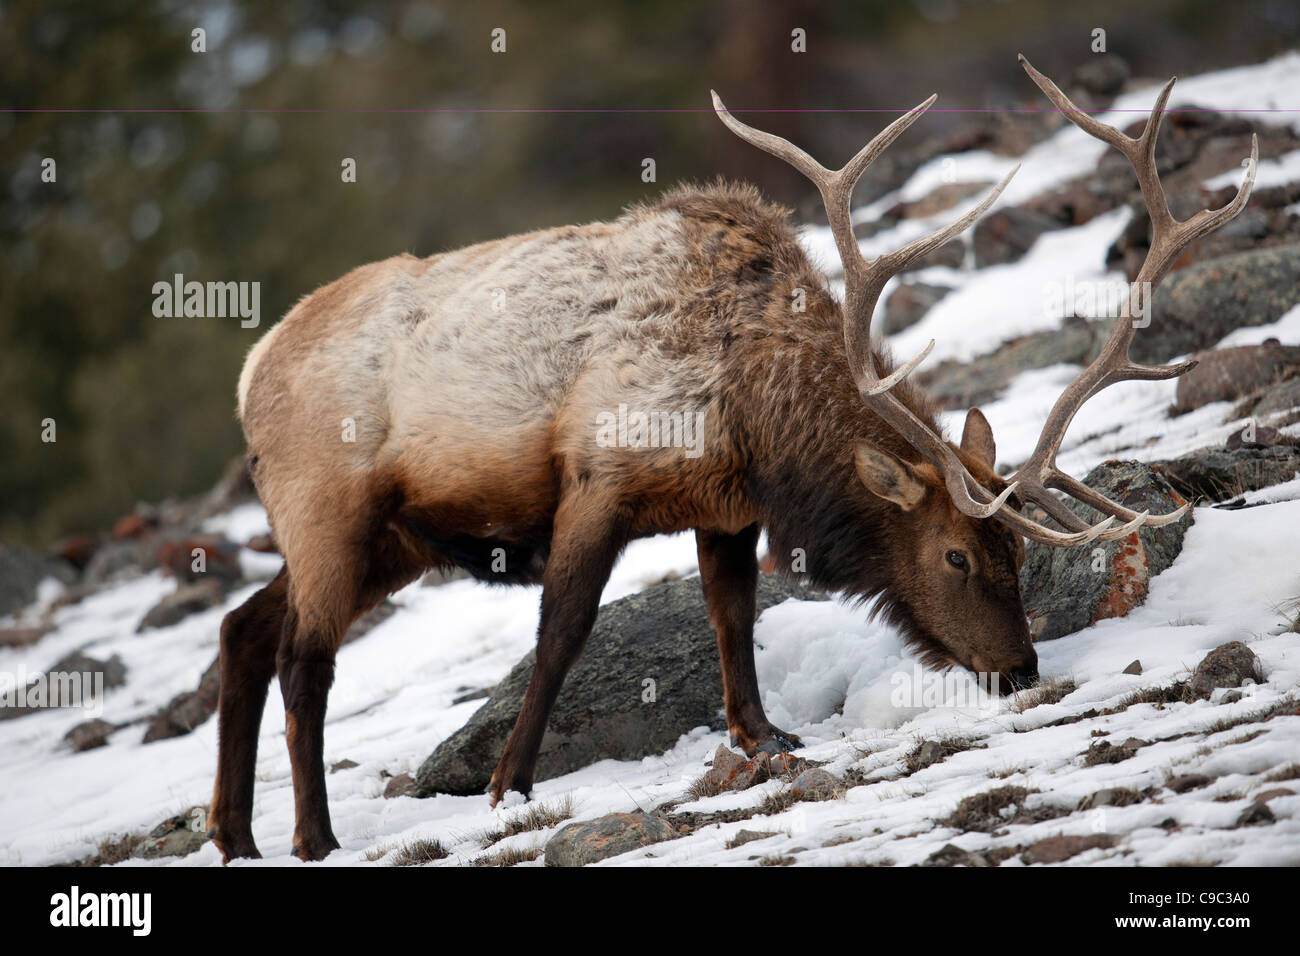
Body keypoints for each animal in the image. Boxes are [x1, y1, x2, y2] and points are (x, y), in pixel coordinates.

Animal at [208, 56, 1256, 862]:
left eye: (1021, 553)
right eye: (958, 554)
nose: (1021, 668)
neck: (757, 414)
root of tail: (249, 374)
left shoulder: (723, 508)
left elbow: (733, 618)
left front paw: (763, 736)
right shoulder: (598, 478)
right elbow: (562, 634)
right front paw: (509, 783)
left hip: (389, 542)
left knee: (242, 626)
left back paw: (234, 832)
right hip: (329, 510)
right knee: (303, 660)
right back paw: (312, 836)